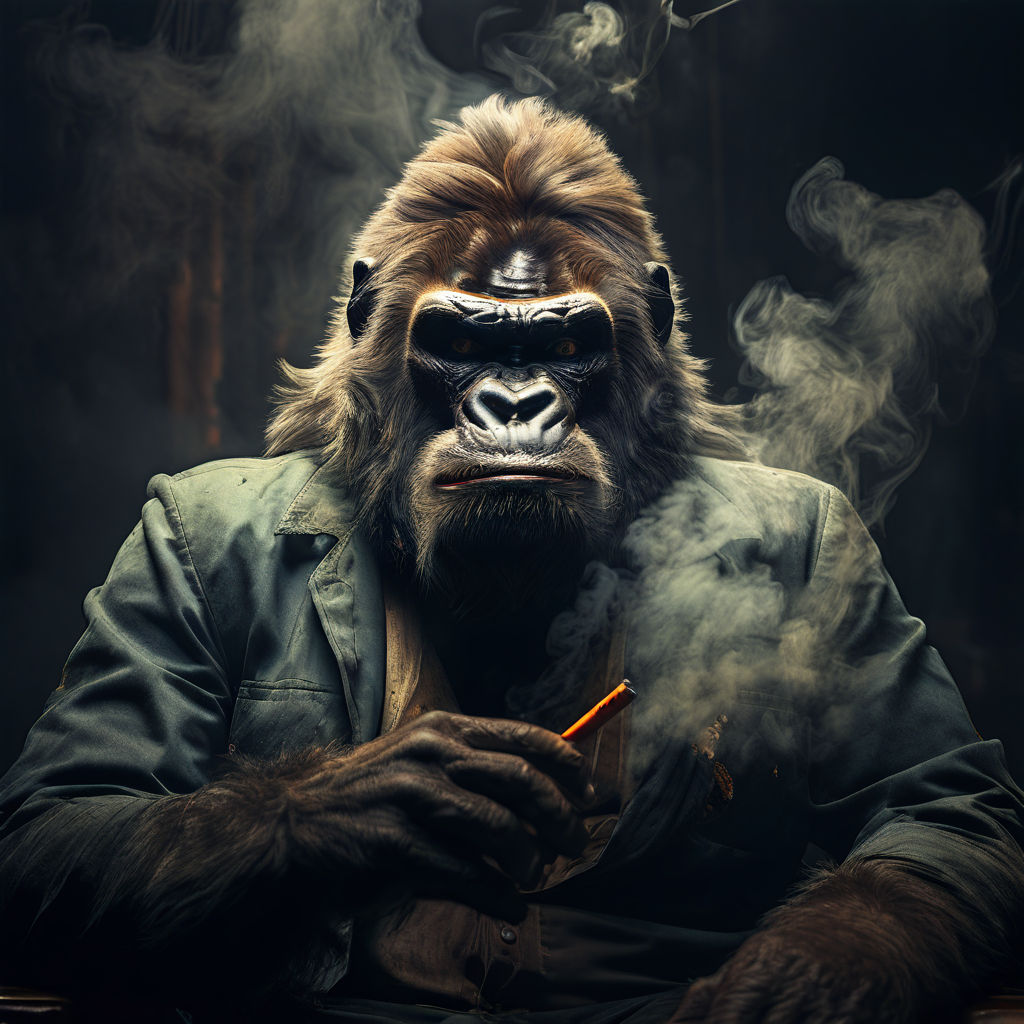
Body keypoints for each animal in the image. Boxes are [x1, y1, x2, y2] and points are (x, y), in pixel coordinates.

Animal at [0, 96, 1021, 1024]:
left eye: (566, 344)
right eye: (460, 342)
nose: (516, 404)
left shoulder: (844, 554)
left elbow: (940, 804)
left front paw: (803, 982)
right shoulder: (160, 541)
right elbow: (77, 804)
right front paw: (389, 796)